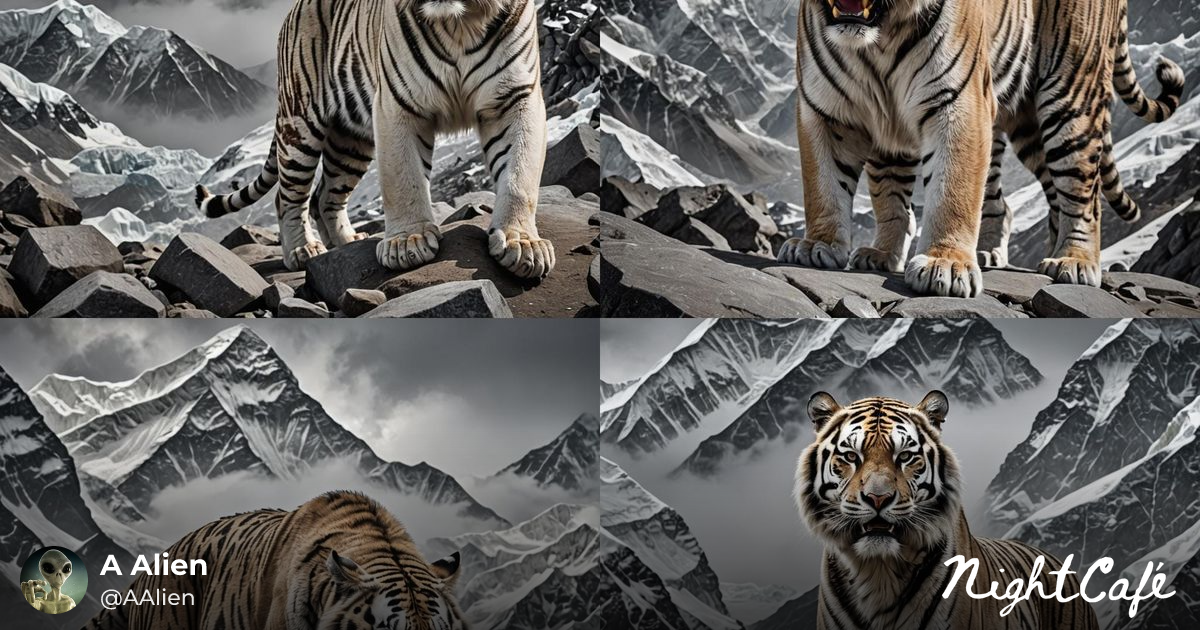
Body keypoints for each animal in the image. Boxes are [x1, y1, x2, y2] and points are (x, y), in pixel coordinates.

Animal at [195, 0, 555, 280]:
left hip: (350, 141)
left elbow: (519, 177)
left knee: (325, 196)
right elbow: (404, 177)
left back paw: (348, 241)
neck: (460, 21)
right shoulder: (397, 104)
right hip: (300, 121)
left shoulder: (516, 99)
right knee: (288, 198)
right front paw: (408, 242)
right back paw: (303, 250)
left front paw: (522, 243)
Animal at [778, 0, 1185, 297]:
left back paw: (1073, 261)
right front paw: (818, 245)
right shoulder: (825, 110)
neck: (879, 38)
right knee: (1020, 200)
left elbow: (952, 193)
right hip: (1025, 126)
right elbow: (826, 187)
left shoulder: (959, 103)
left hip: (1069, 98)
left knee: (1084, 193)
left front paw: (944, 264)